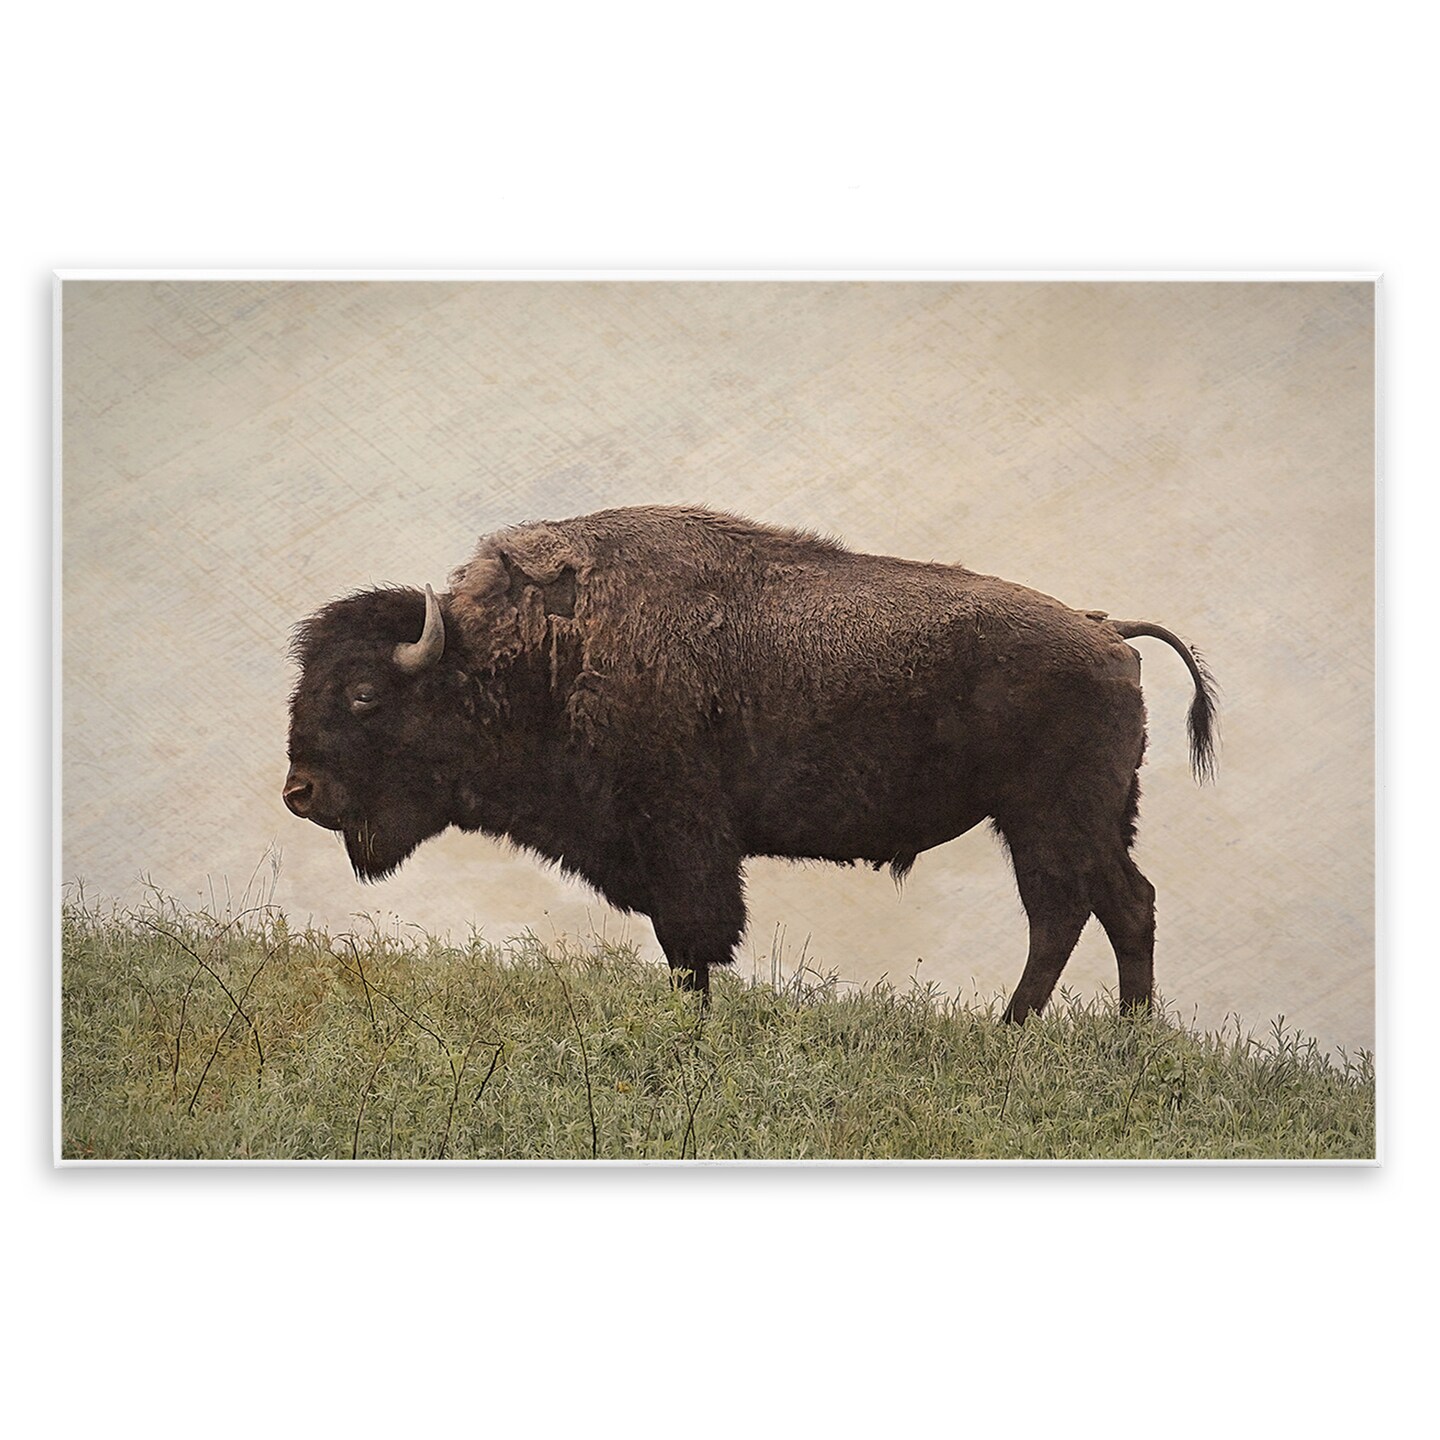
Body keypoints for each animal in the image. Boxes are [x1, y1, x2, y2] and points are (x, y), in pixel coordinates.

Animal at [285, 505, 1216, 1020]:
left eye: (363, 693)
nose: (300, 792)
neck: (535, 649)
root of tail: (1105, 632)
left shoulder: (683, 843)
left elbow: (692, 944)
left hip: (1054, 819)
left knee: (1088, 911)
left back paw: (1059, 1039)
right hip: (1068, 823)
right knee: (1098, 911)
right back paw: (1085, 1038)